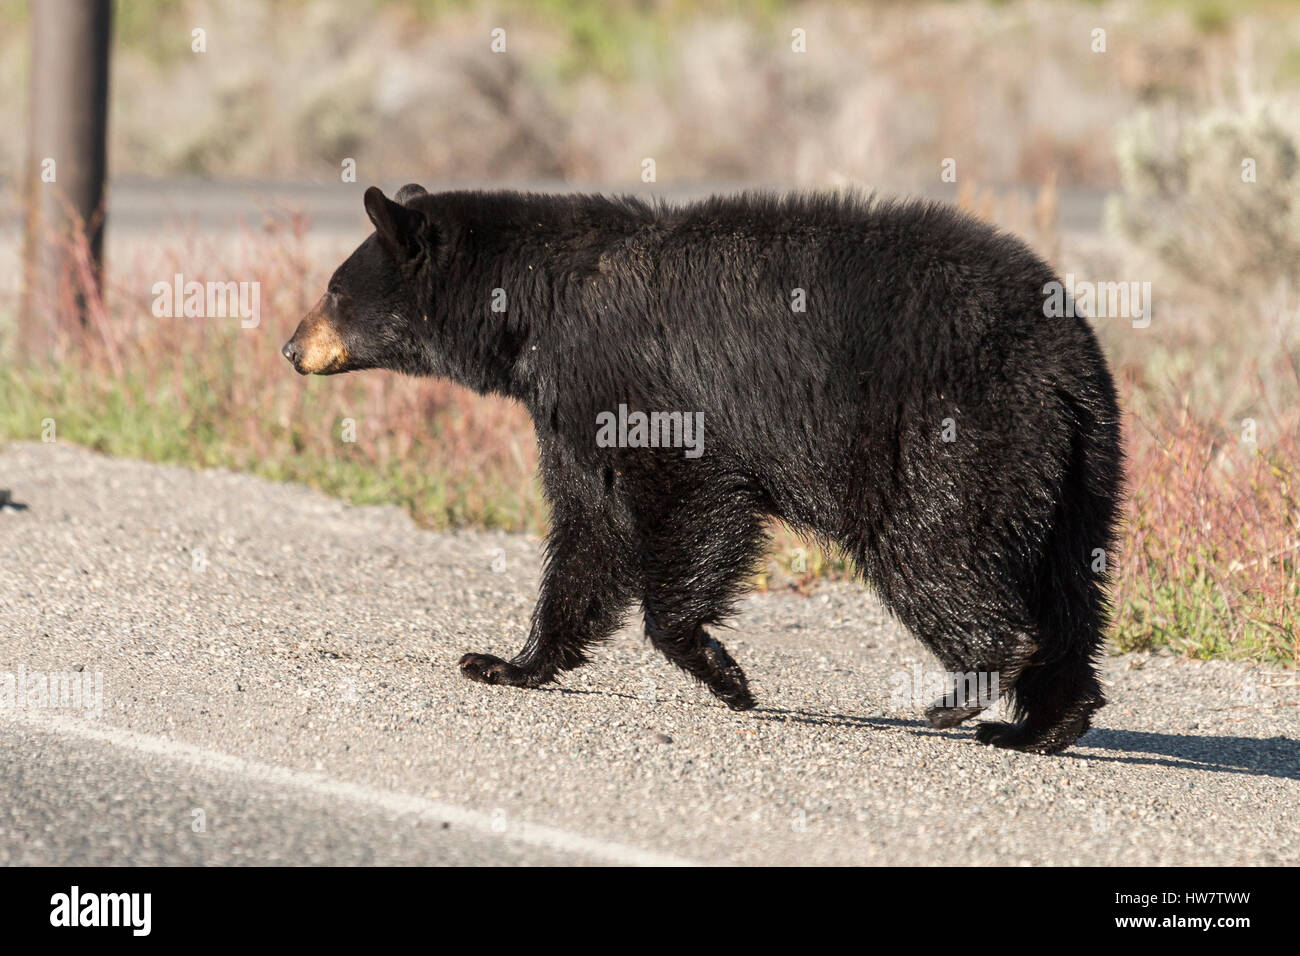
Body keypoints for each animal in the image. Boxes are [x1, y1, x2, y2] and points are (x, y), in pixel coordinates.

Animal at [282, 184, 1123, 754]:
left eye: (332, 288)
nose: (291, 346)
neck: (536, 309)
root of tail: (1062, 357)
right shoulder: (569, 408)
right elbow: (586, 529)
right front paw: (505, 661)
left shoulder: (640, 386)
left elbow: (686, 503)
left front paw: (724, 673)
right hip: (1077, 465)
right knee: (1070, 587)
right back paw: (1046, 724)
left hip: (946, 438)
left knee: (933, 550)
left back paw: (964, 691)